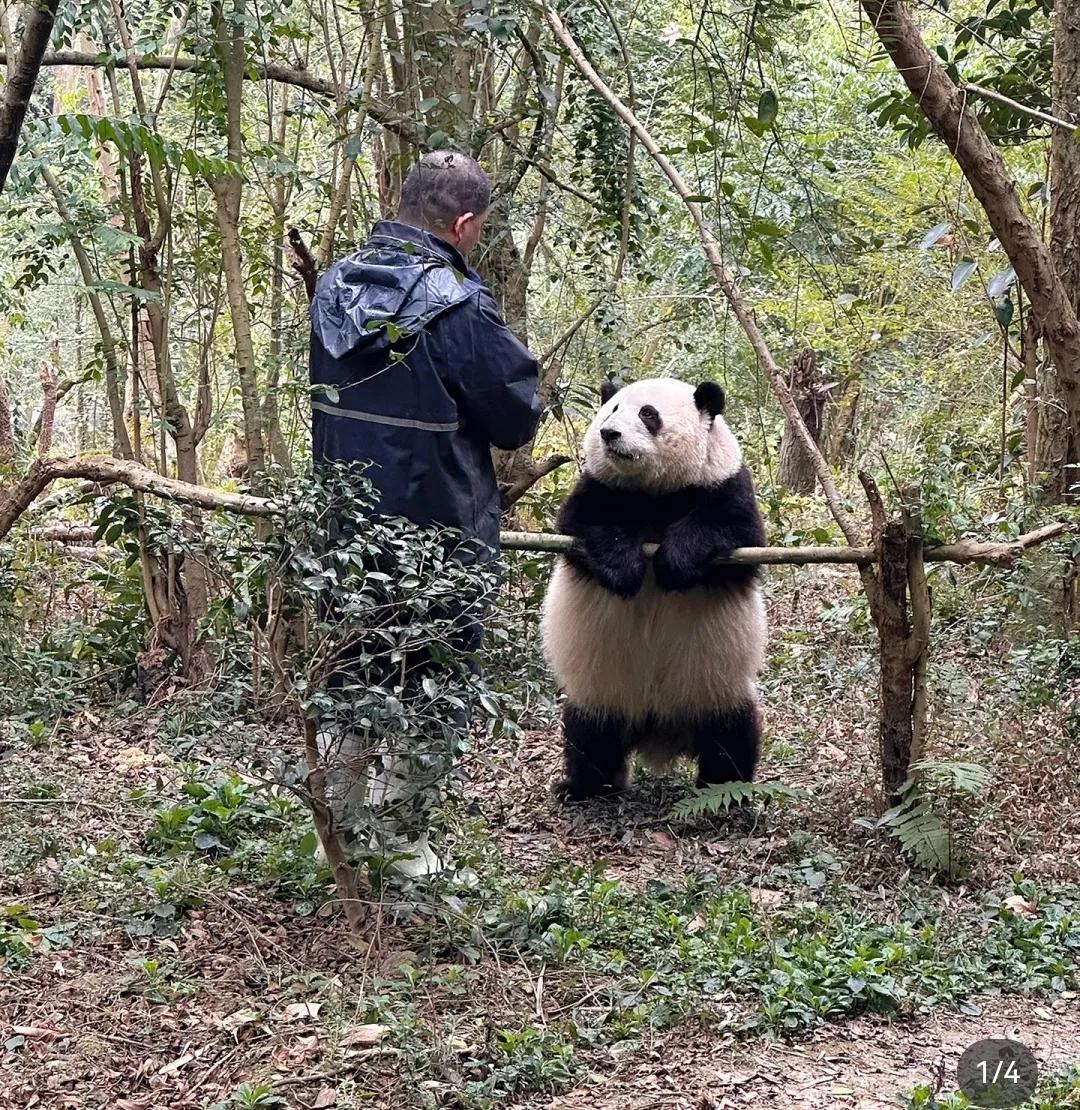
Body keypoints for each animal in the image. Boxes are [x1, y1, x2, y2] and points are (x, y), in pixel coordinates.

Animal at [540, 377, 768, 801]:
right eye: (612, 409)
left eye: (649, 414)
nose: (609, 434)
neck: (654, 491)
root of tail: (659, 732)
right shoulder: (597, 487)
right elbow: (585, 524)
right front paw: (626, 569)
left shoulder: (724, 482)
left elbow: (731, 528)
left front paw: (672, 564)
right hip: (602, 691)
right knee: (589, 737)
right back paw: (581, 787)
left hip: (716, 688)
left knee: (733, 735)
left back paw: (726, 790)